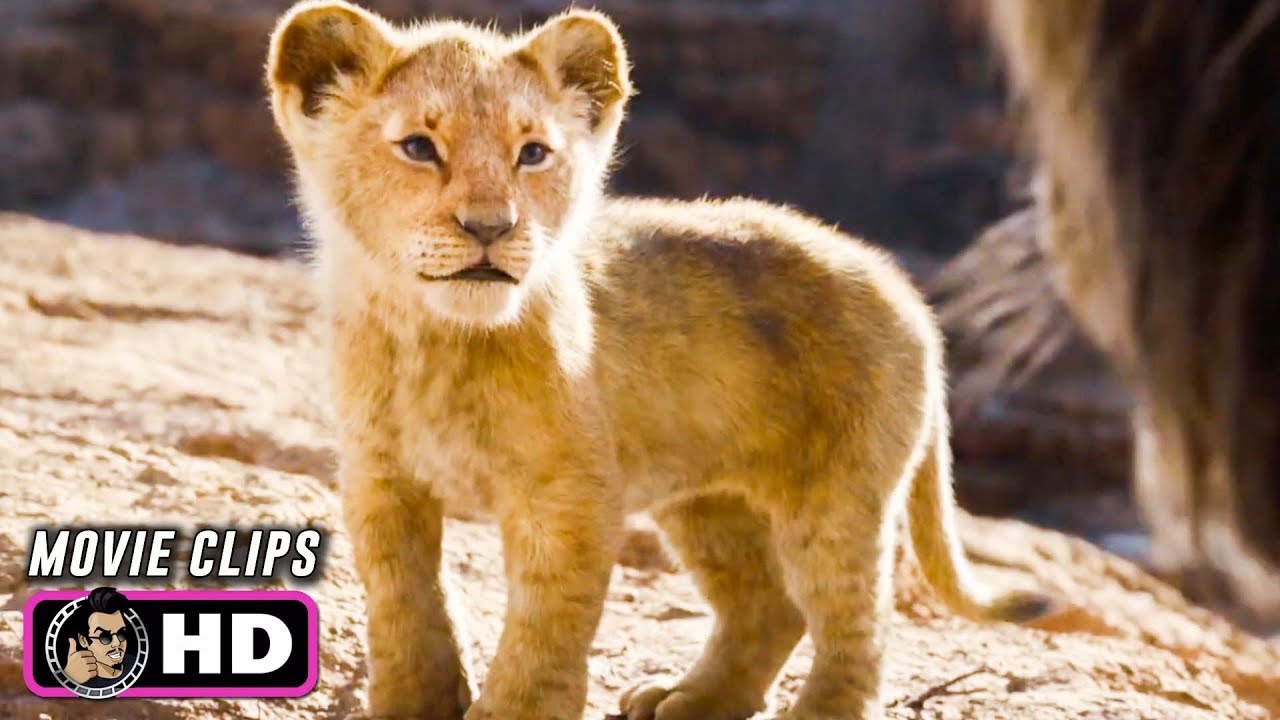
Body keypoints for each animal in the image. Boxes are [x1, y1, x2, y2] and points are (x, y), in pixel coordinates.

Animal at [264, 2, 1054, 718]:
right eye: (419, 147)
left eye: (533, 153)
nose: (491, 227)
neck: (435, 339)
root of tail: (904, 288)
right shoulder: (381, 479)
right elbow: (405, 605)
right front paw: (411, 701)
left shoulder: (571, 495)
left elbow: (544, 629)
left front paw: (513, 709)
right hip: (707, 500)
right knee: (769, 607)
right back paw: (687, 700)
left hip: (839, 493)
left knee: (853, 620)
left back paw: (811, 709)